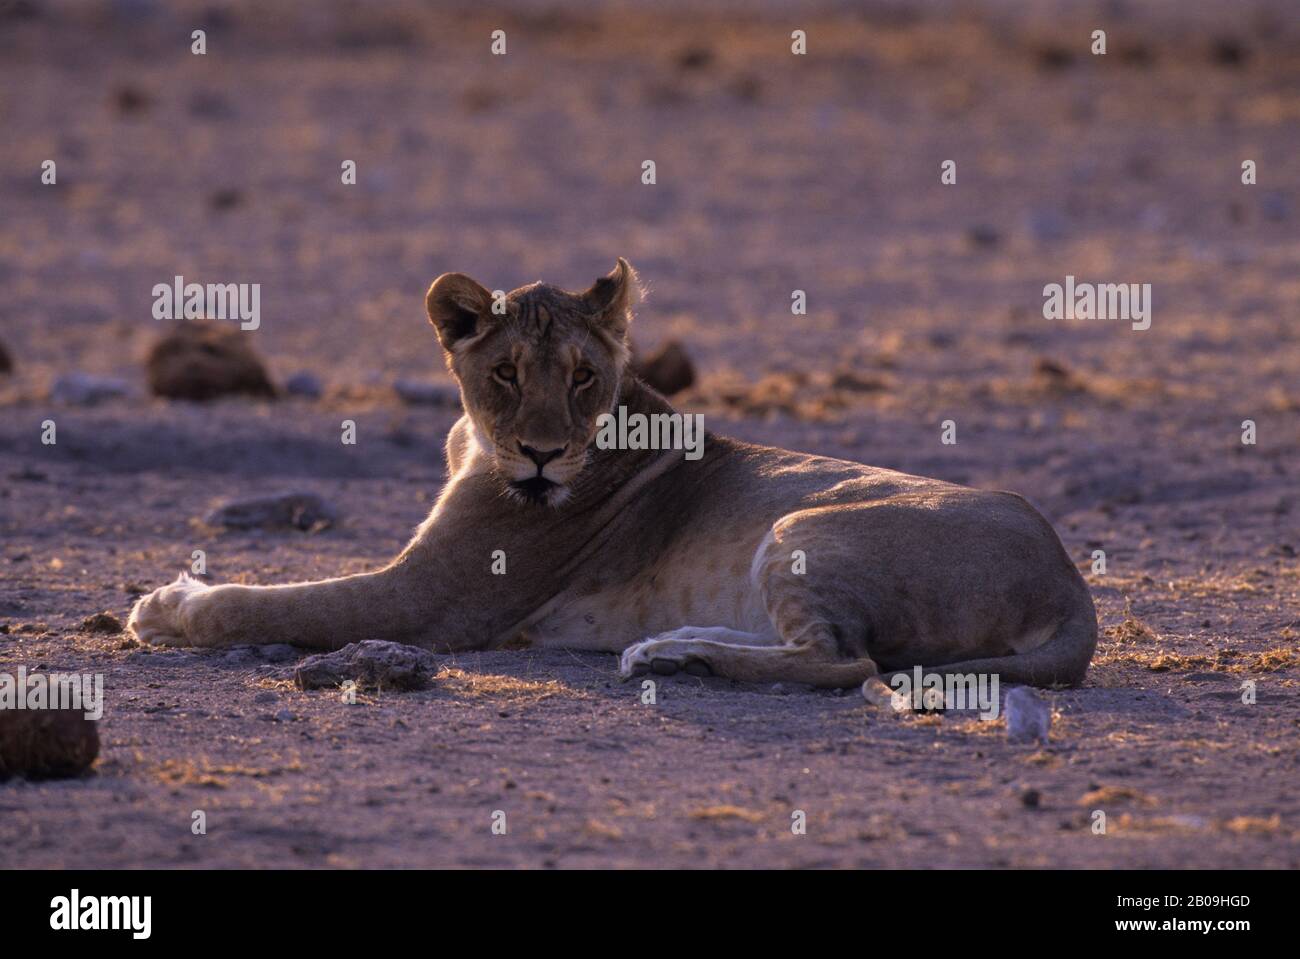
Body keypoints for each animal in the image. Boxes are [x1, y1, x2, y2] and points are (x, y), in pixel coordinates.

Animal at [129, 258, 1097, 691]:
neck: (478, 442)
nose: (543, 453)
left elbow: (275, 603)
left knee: (844, 660)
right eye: (506, 372)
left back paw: (682, 654)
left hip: (805, 526)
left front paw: (165, 605)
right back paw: (670, 643)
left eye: (582, 375)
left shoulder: (427, 600)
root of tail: (1073, 582)